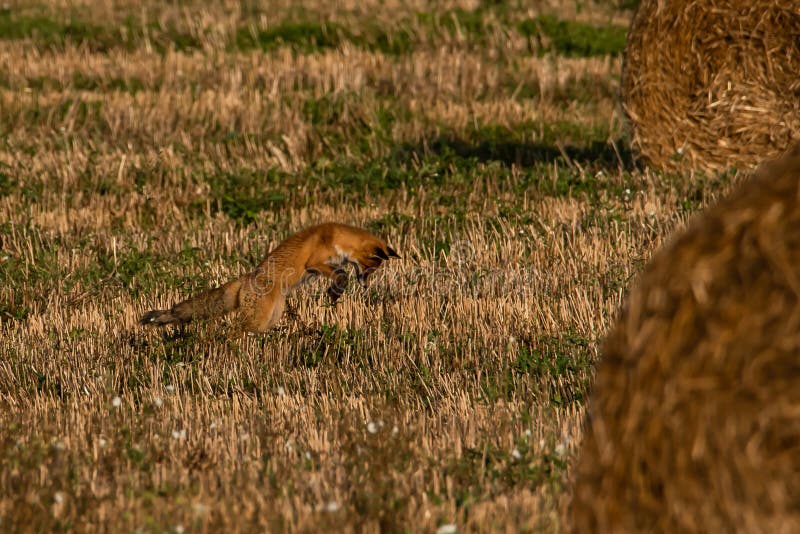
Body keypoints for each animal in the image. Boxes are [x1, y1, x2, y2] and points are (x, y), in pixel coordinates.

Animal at [139, 223, 400, 333]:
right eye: (370, 267)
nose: (365, 285)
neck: (336, 237)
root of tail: (246, 278)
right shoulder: (314, 262)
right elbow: (341, 273)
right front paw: (335, 292)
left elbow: (340, 273)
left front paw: (335, 294)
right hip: (258, 317)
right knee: (233, 331)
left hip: (271, 317)